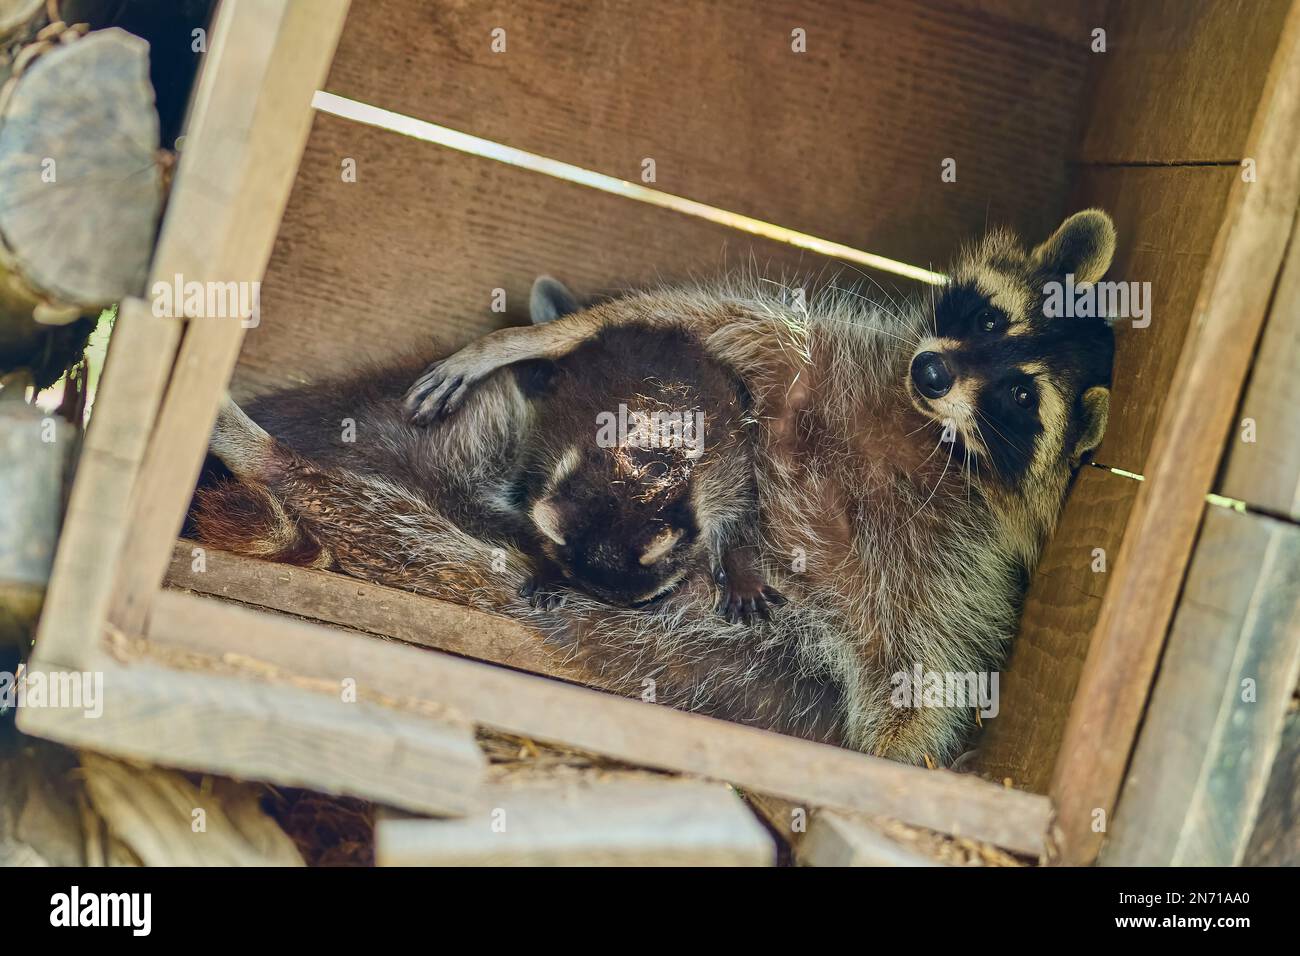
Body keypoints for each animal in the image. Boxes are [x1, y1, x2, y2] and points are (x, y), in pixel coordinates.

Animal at [197, 210, 1116, 764]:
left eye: (1020, 398)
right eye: (987, 317)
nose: (932, 373)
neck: (913, 429)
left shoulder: (952, 562)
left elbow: (919, 674)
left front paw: (894, 759)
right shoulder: (811, 365)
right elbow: (710, 320)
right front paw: (539, 334)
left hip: (734, 659)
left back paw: (282, 465)